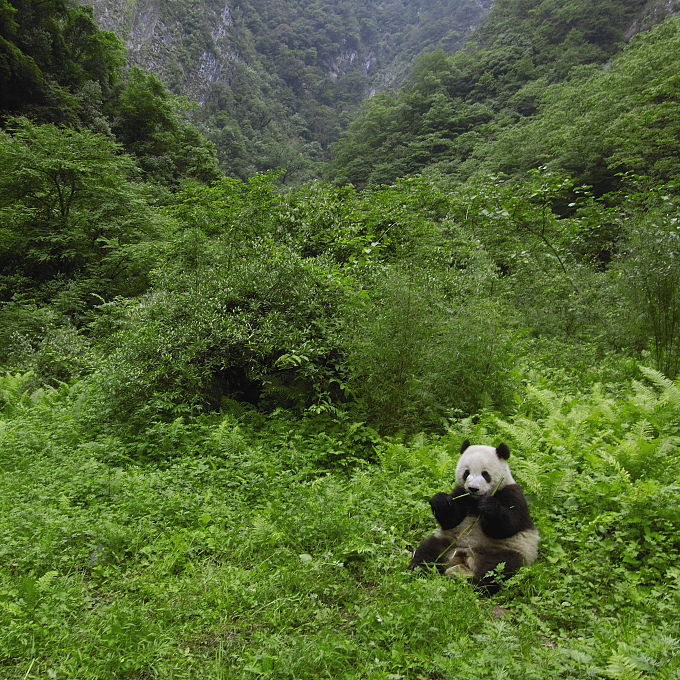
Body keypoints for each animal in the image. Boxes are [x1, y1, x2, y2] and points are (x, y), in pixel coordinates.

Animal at [409, 439, 539, 592]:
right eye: (467, 472)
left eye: (485, 474)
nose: (473, 488)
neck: (476, 499)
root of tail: (463, 557)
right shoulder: (461, 493)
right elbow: (451, 520)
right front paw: (440, 501)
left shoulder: (513, 494)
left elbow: (508, 526)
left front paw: (489, 506)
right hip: (448, 543)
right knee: (428, 550)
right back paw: (418, 569)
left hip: (504, 551)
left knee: (499, 568)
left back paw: (475, 584)